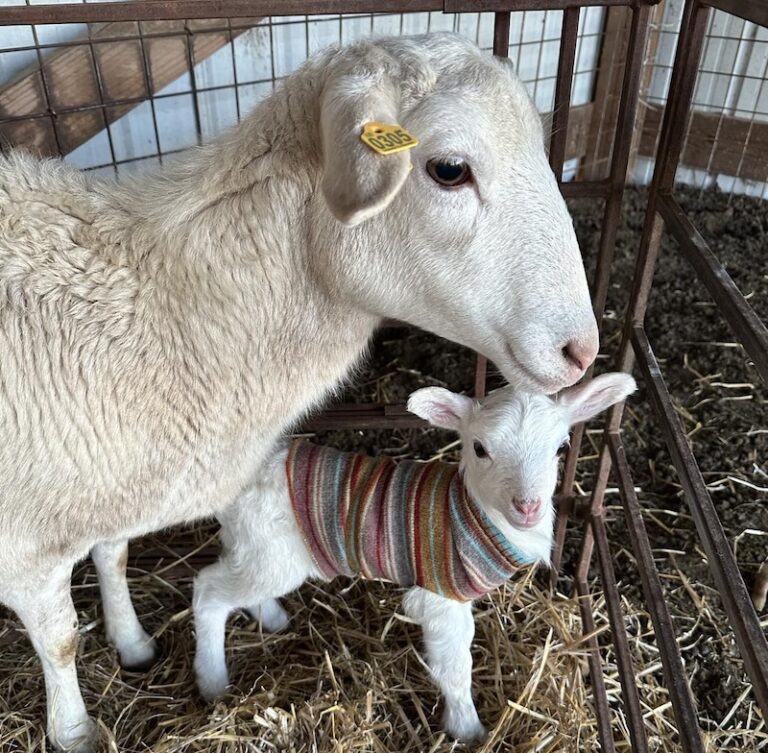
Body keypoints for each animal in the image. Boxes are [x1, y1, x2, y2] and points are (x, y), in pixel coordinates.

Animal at [192, 372, 636, 741]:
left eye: (561, 446)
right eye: (479, 448)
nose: (527, 507)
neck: (476, 516)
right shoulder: (441, 596)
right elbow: (454, 666)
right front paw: (468, 729)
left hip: (254, 545)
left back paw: (273, 619)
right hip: (274, 554)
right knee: (207, 591)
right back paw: (213, 683)